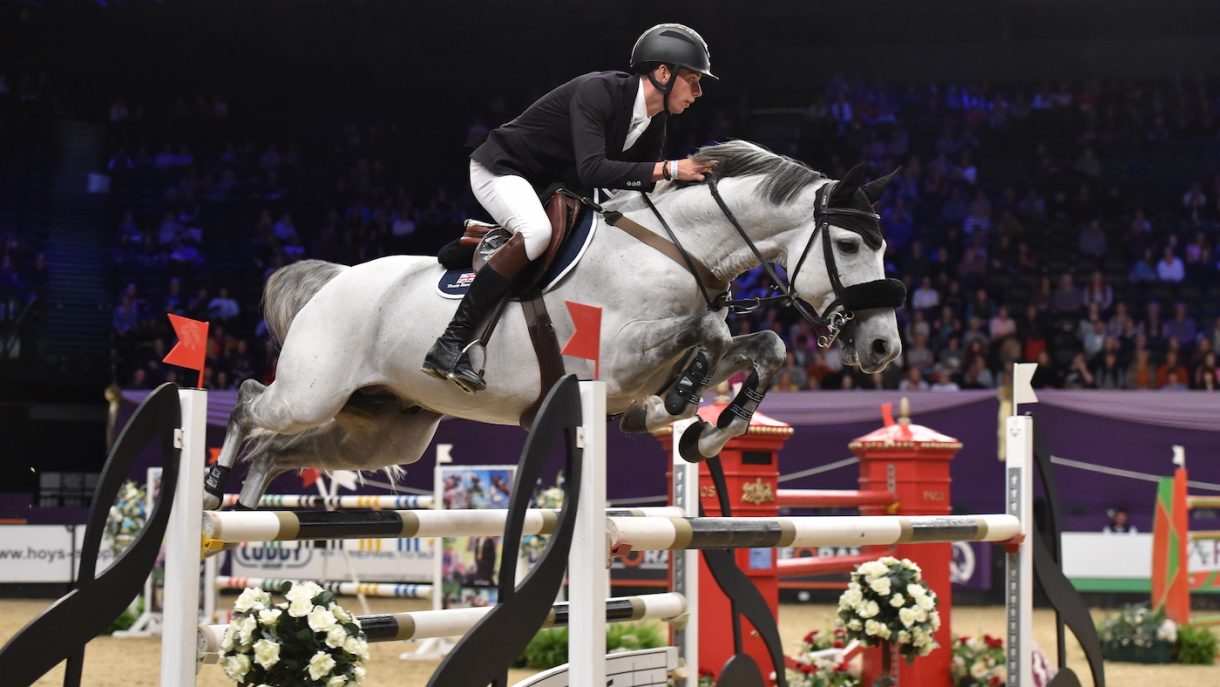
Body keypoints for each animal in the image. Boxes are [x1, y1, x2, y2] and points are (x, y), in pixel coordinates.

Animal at [203, 140, 906, 511]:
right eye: (849, 244)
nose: (882, 347)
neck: (673, 246)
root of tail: (333, 282)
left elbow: (766, 346)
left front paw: (708, 434)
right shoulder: (616, 358)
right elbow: (706, 339)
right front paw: (679, 405)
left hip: (384, 430)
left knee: (280, 449)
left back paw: (248, 512)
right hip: (311, 391)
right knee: (248, 402)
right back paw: (212, 493)